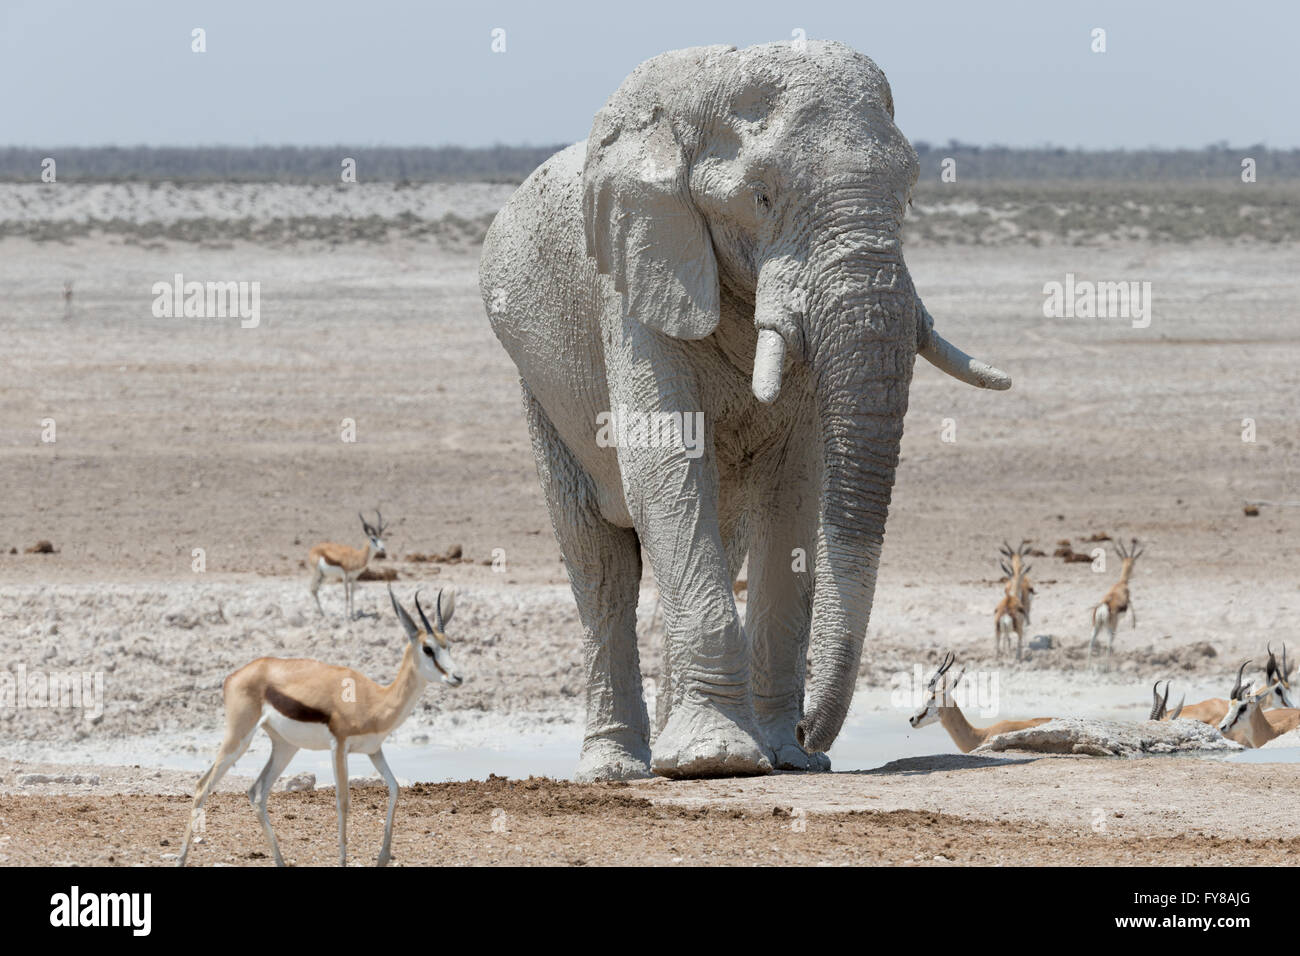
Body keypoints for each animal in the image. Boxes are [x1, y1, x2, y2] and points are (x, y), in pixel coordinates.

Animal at [479, 40, 1010, 780]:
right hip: (538, 388)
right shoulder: (637, 276)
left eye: (908, 195)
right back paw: (620, 769)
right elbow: (662, 464)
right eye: (761, 197)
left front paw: (781, 757)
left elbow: (796, 487)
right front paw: (718, 761)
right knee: (599, 562)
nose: (815, 736)